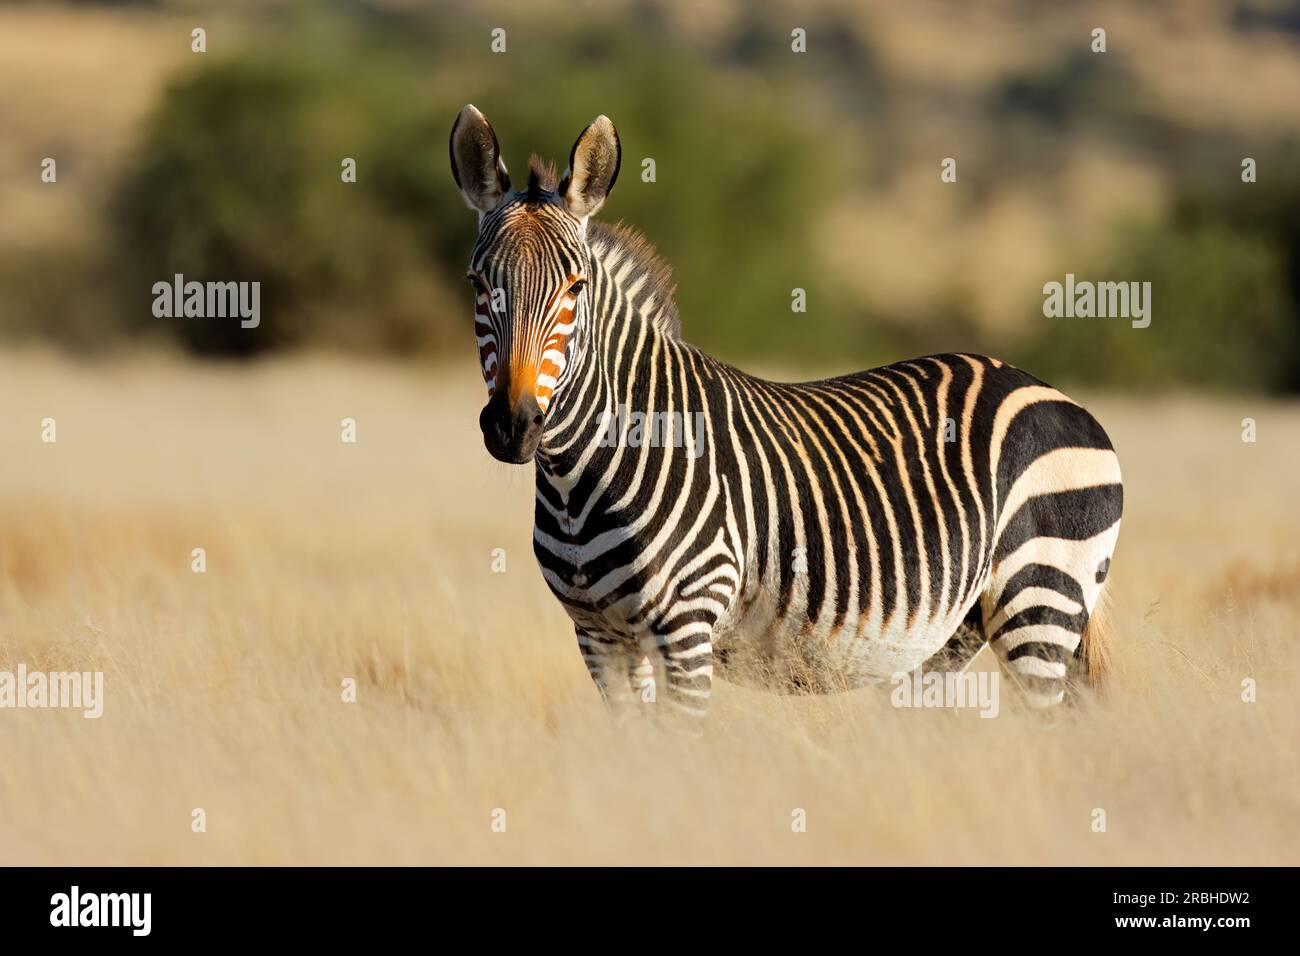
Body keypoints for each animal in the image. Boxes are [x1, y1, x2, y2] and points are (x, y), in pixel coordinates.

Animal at [449, 104, 1123, 724]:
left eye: (576, 287)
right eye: (478, 284)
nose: (513, 427)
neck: (578, 482)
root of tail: (1058, 397)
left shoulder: (686, 624)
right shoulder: (599, 636)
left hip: (1040, 599)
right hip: (954, 630)